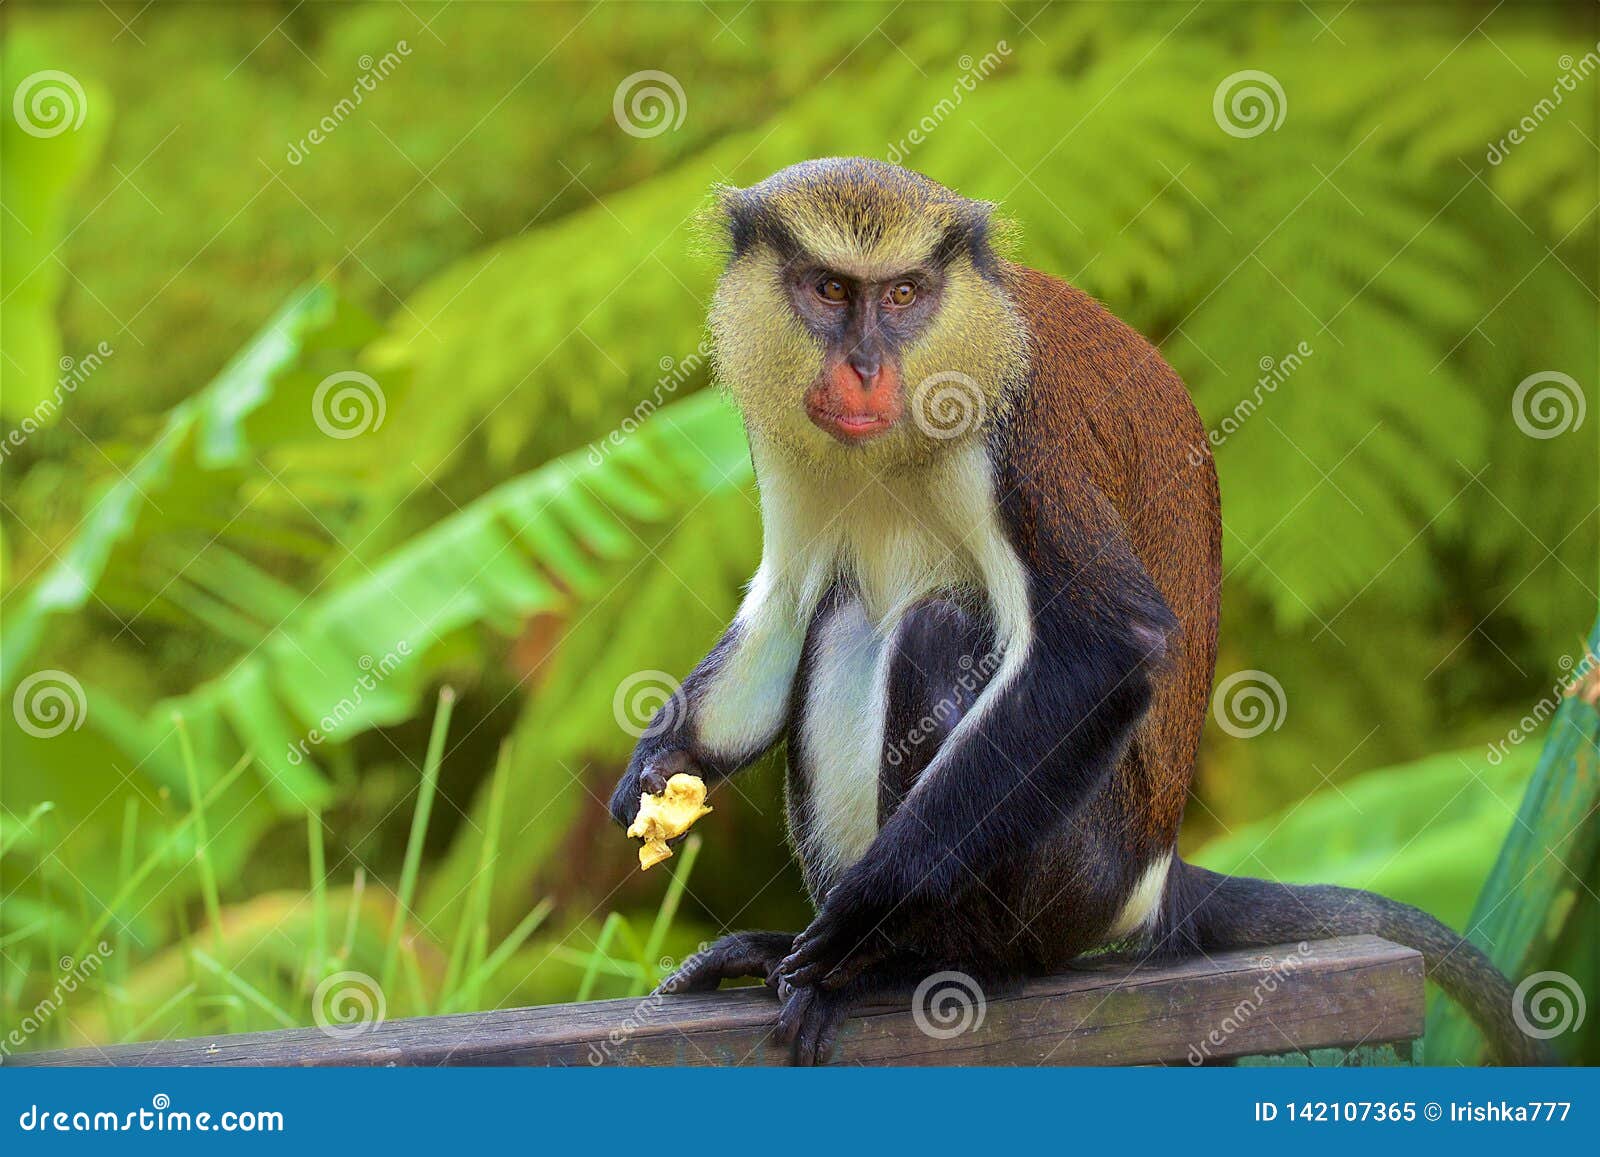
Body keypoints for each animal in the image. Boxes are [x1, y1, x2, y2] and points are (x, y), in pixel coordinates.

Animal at [607, 157, 1548, 1067]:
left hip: (1065, 875)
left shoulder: (1021, 440)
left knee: (935, 627)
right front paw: (662, 765)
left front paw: (870, 904)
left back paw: (893, 962)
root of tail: (1156, 879)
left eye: (905, 294)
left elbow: (1108, 642)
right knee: (844, 613)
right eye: (831, 290)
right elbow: (788, 607)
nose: (865, 367)